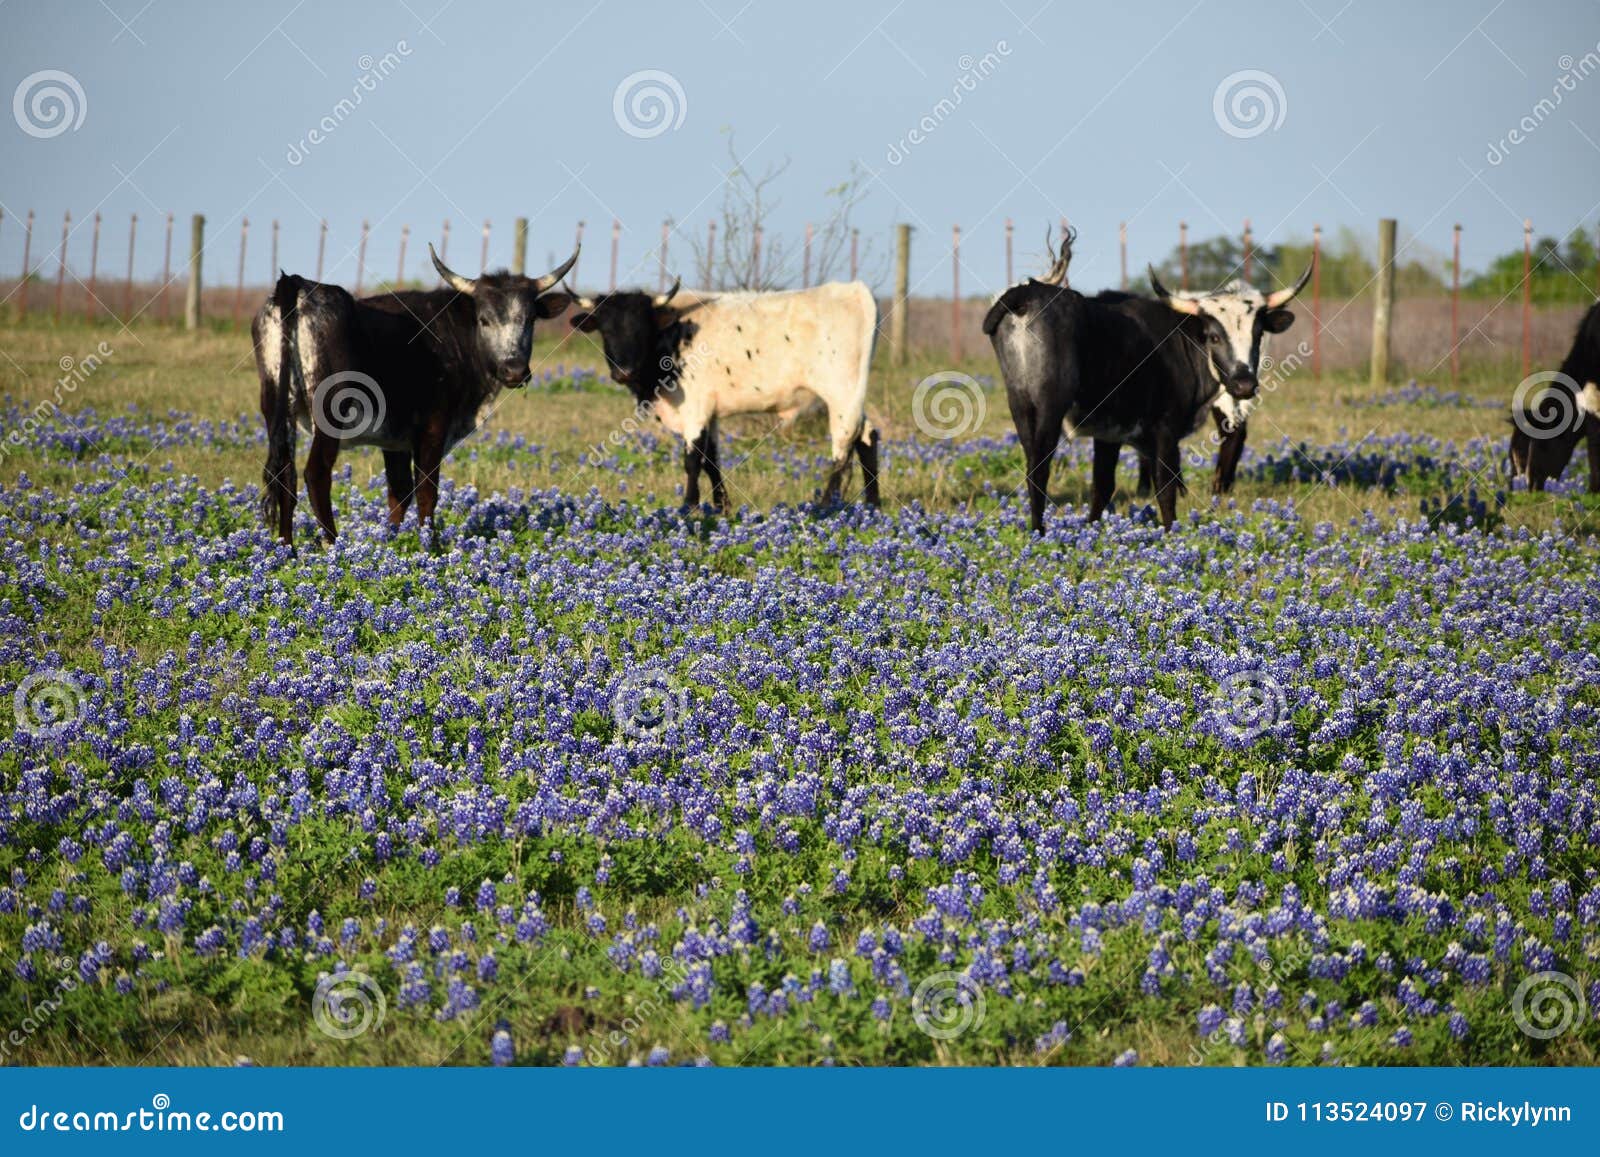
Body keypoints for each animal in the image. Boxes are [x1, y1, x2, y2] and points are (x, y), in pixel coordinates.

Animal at [253, 244, 578, 545]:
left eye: (530, 319)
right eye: (484, 319)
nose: (514, 370)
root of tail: (295, 283)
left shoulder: (395, 440)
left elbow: (399, 492)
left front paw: (391, 540)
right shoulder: (434, 427)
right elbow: (426, 491)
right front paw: (429, 545)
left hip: (275, 405)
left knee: (285, 474)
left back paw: (288, 549)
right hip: (330, 409)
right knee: (316, 474)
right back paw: (333, 545)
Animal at [566, 278, 881, 509]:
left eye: (641, 327)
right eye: (605, 329)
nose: (624, 372)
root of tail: (852, 289)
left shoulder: (695, 406)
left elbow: (693, 459)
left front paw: (689, 506)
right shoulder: (711, 410)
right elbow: (712, 459)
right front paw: (722, 506)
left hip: (841, 393)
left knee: (843, 446)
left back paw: (826, 507)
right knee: (867, 437)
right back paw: (872, 504)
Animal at [982, 232, 1310, 532]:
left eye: (1258, 334)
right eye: (1214, 336)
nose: (1244, 384)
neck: (1182, 341)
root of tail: (1027, 292)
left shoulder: (1109, 432)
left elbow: (1102, 486)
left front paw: (1093, 530)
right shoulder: (1165, 429)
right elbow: (1165, 485)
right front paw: (1171, 531)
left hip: (1021, 406)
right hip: (1049, 407)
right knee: (1039, 470)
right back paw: (1038, 533)